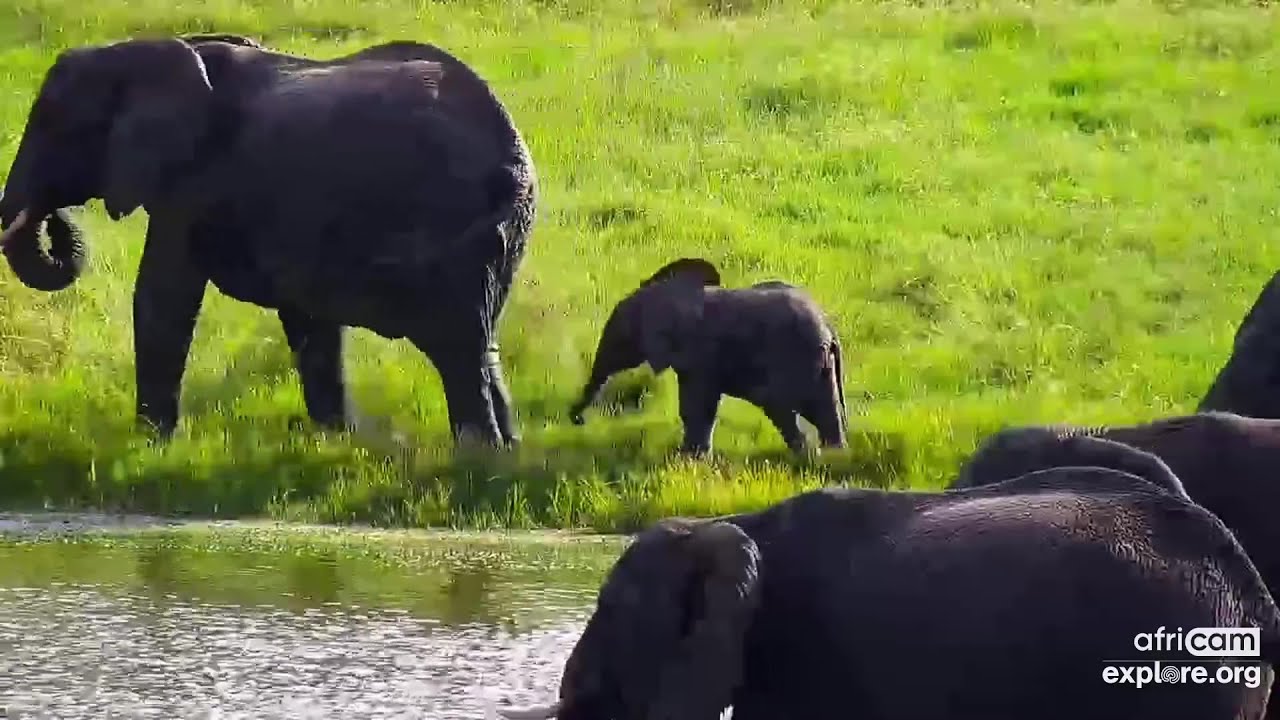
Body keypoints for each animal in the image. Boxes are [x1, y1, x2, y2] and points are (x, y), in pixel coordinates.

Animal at [0, 33, 537, 447]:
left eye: (53, 125)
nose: (55, 219)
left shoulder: (191, 182)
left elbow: (162, 298)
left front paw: (150, 445)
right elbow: (310, 321)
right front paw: (336, 444)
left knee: (458, 345)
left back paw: (478, 458)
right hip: (499, 239)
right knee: (482, 338)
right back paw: (507, 453)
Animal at [568, 257, 847, 456]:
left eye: (620, 339)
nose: (579, 420)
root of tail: (828, 325)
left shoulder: (701, 352)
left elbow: (697, 404)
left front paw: (689, 459)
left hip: (795, 357)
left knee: (780, 405)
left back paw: (807, 456)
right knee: (824, 408)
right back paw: (832, 457)